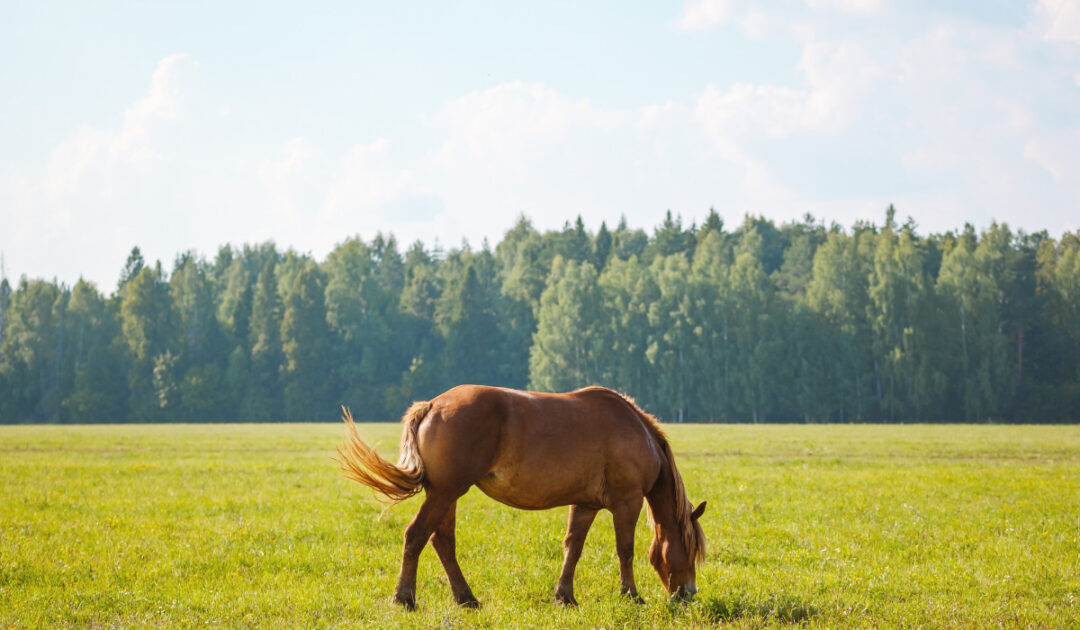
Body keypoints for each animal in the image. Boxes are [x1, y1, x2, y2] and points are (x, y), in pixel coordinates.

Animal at [336, 384, 706, 610]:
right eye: (690, 549)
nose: (688, 594)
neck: (637, 432)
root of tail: (432, 405)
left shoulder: (585, 504)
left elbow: (573, 547)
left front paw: (564, 596)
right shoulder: (626, 502)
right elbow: (625, 550)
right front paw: (631, 595)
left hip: (446, 495)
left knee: (442, 542)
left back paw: (466, 599)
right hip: (444, 494)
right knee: (416, 535)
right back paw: (405, 598)